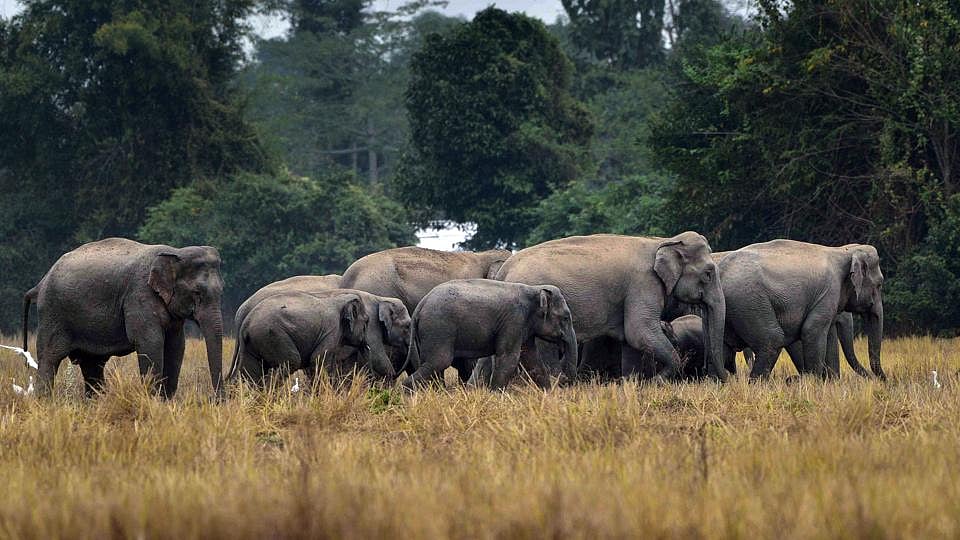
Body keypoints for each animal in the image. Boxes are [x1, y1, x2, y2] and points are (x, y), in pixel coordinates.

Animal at [22, 238, 225, 398]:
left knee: (92, 365)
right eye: (197, 292)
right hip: (53, 313)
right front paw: (153, 400)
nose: (216, 400)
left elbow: (176, 346)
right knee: (50, 358)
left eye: (221, 291)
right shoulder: (140, 295)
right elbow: (151, 342)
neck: (175, 252)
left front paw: (166, 401)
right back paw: (44, 402)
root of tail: (40, 283)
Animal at [227, 291, 370, 386]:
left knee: (251, 372)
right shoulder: (332, 330)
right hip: (272, 336)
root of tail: (246, 322)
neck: (339, 298)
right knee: (291, 361)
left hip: (253, 342)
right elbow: (318, 360)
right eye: (367, 321)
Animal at [402, 279, 577, 390]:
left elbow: (532, 359)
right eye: (566, 318)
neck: (534, 289)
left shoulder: (523, 326)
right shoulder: (514, 320)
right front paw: (496, 396)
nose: (564, 381)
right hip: (439, 328)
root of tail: (420, 305)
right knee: (439, 361)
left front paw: (548, 396)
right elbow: (509, 358)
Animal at [490, 233, 727, 381]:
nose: (723, 377)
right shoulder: (643, 284)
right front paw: (658, 381)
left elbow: (631, 340)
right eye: (708, 274)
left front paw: (633, 384)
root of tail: (504, 270)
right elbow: (639, 331)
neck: (664, 242)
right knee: (544, 347)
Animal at [714, 241, 884, 380]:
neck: (843, 250)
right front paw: (812, 382)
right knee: (772, 339)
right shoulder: (828, 292)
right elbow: (811, 330)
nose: (880, 380)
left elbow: (828, 335)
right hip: (750, 302)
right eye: (879, 284)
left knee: (723, 348)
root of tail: (721, 272)